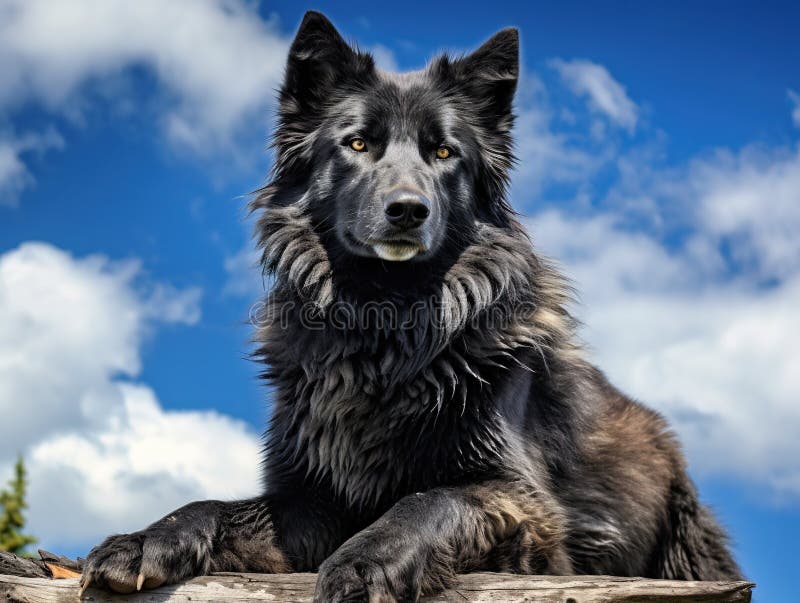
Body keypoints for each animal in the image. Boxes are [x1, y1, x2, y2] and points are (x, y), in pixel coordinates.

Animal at [82, 11, 742, 601]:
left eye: (444, 154)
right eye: (357, 144)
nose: (407, 210)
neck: (385, 324)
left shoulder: (524, 508)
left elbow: (429, 498)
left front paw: (368, 561)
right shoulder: (312, 499)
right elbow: (220, 505)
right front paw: (146, 540)